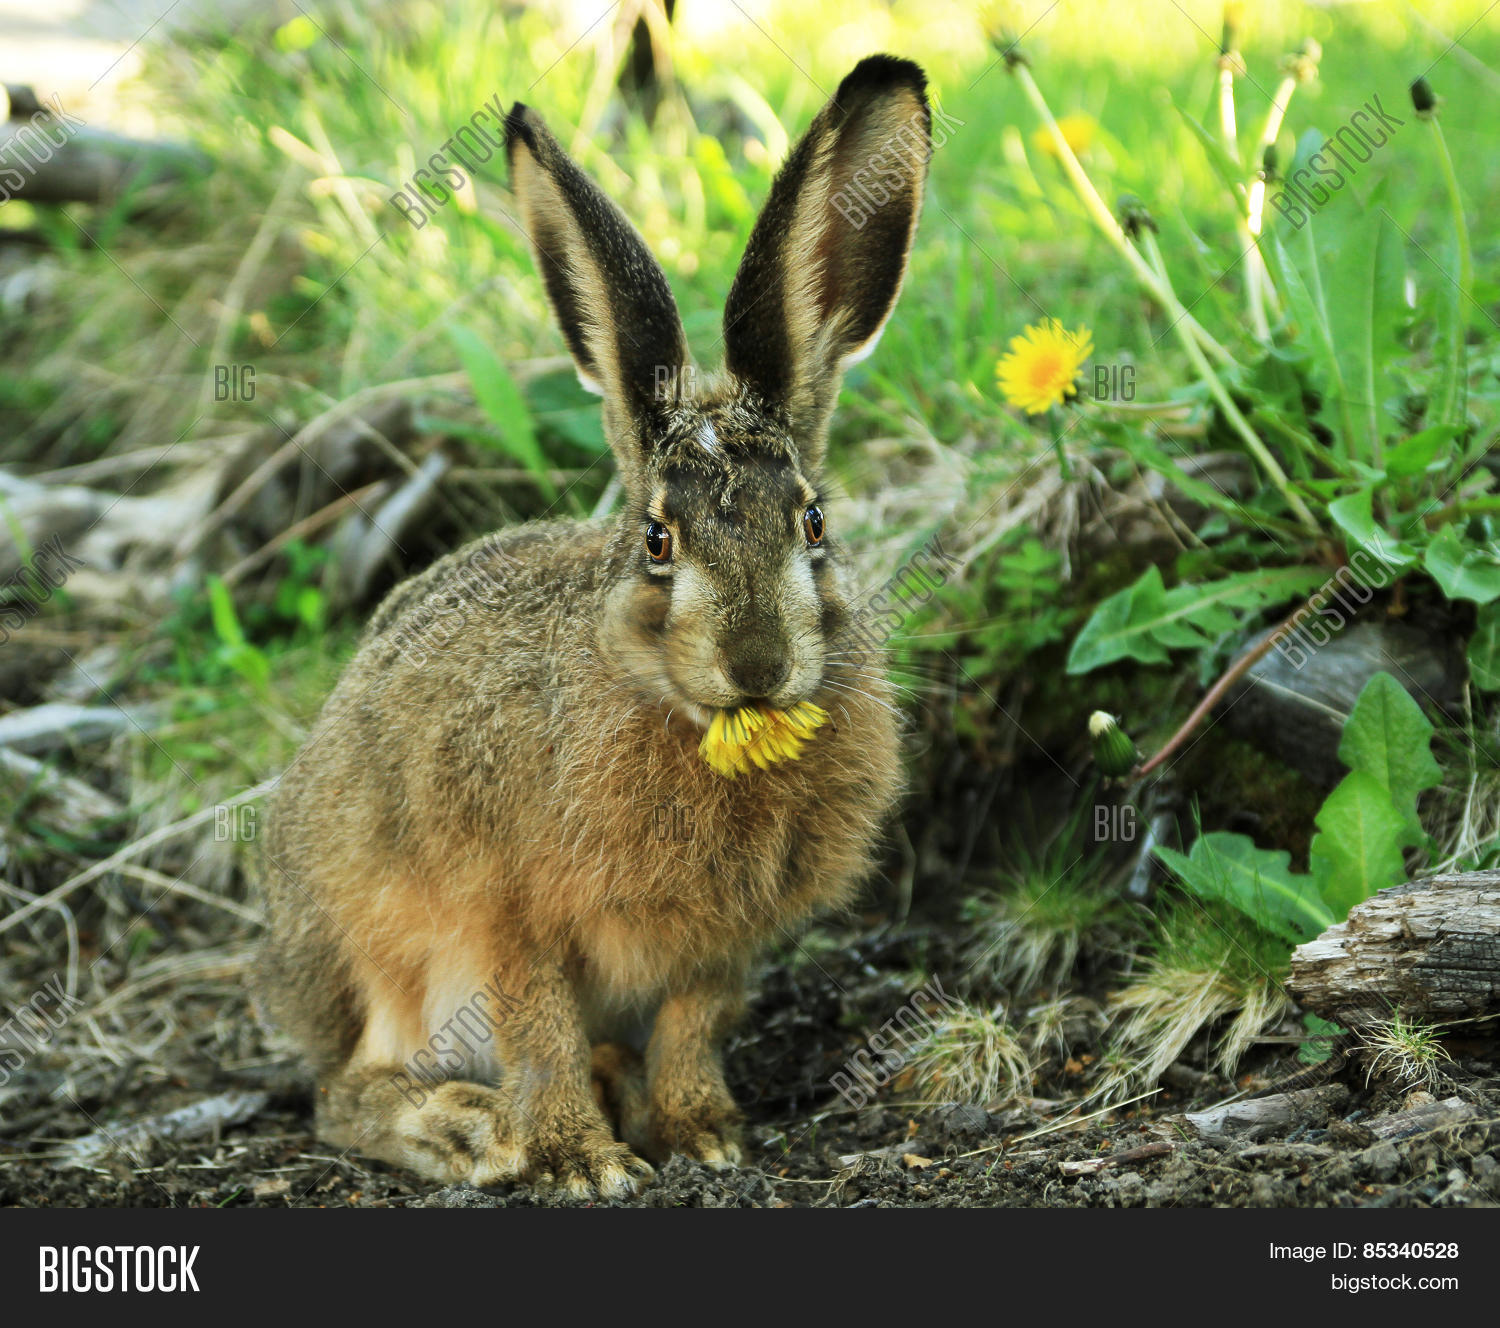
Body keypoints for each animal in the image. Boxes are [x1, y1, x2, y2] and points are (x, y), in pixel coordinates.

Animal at [256, 54, 930, 1199]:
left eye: (812, 522)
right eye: (658, 538)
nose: (758, 663)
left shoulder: (719, 943)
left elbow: (696, 1022)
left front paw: (701, 1131)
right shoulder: (507, 918)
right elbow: (539, 1030)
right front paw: (578, 1160)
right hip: (387, 960)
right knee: (345, 1092)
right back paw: (472, 1129)